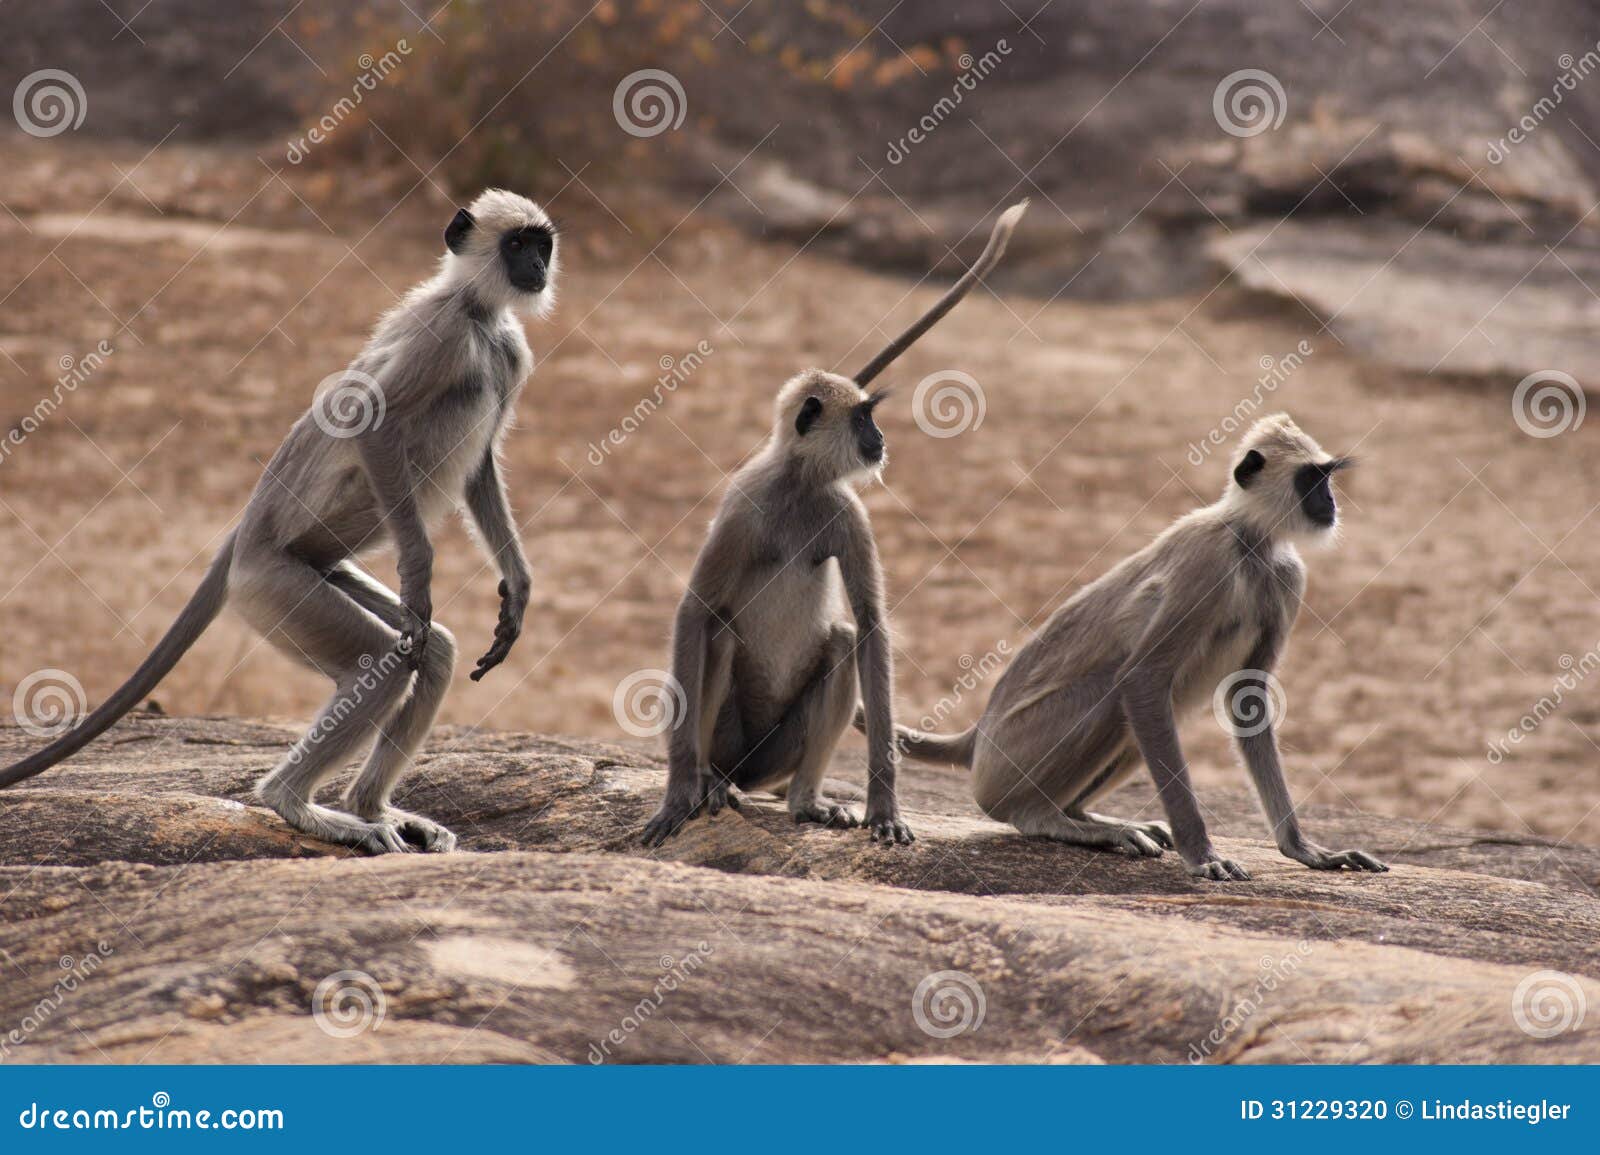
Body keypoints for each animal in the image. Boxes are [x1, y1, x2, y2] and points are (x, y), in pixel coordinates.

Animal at [0, 188, 558, 855]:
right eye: (516, 244)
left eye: (541, 244)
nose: (538, 268)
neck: (479, 314)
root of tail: (247, 532)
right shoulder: (442, 337)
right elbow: (374, 424)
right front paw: (421, 573)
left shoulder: (510, 354)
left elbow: (479, 470)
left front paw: (518, 590)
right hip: (272, 586)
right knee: (384, 656)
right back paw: (298, 805)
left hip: (313, 573)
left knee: (437, 650)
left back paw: (371, 807)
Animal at [641, 201, 1029, 848]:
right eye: (864, 419)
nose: (881, 438)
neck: (799, 484)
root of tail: (753, 772)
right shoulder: (743, 503)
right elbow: (694, 612)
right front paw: (678, 792)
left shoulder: (848, 511)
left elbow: (870, 626)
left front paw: (884, 806)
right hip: (733, 740)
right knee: (718, 627)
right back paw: (710, 780)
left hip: (780, 752)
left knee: (844, 640)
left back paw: (805, 800)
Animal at [867, 414, 1389, 881]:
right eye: (1312, 479)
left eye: (1326, 478)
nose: (1330, 501)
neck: (1249, 544)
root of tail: (977, 736)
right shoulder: (1207, 561)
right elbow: (1141, 679)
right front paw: (1201, 855)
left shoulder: (1288, 578)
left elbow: (1249, 700)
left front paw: (1303, 849)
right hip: (1010, 756)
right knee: (1116, 692)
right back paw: (1045, 817)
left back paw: (1085, 817)